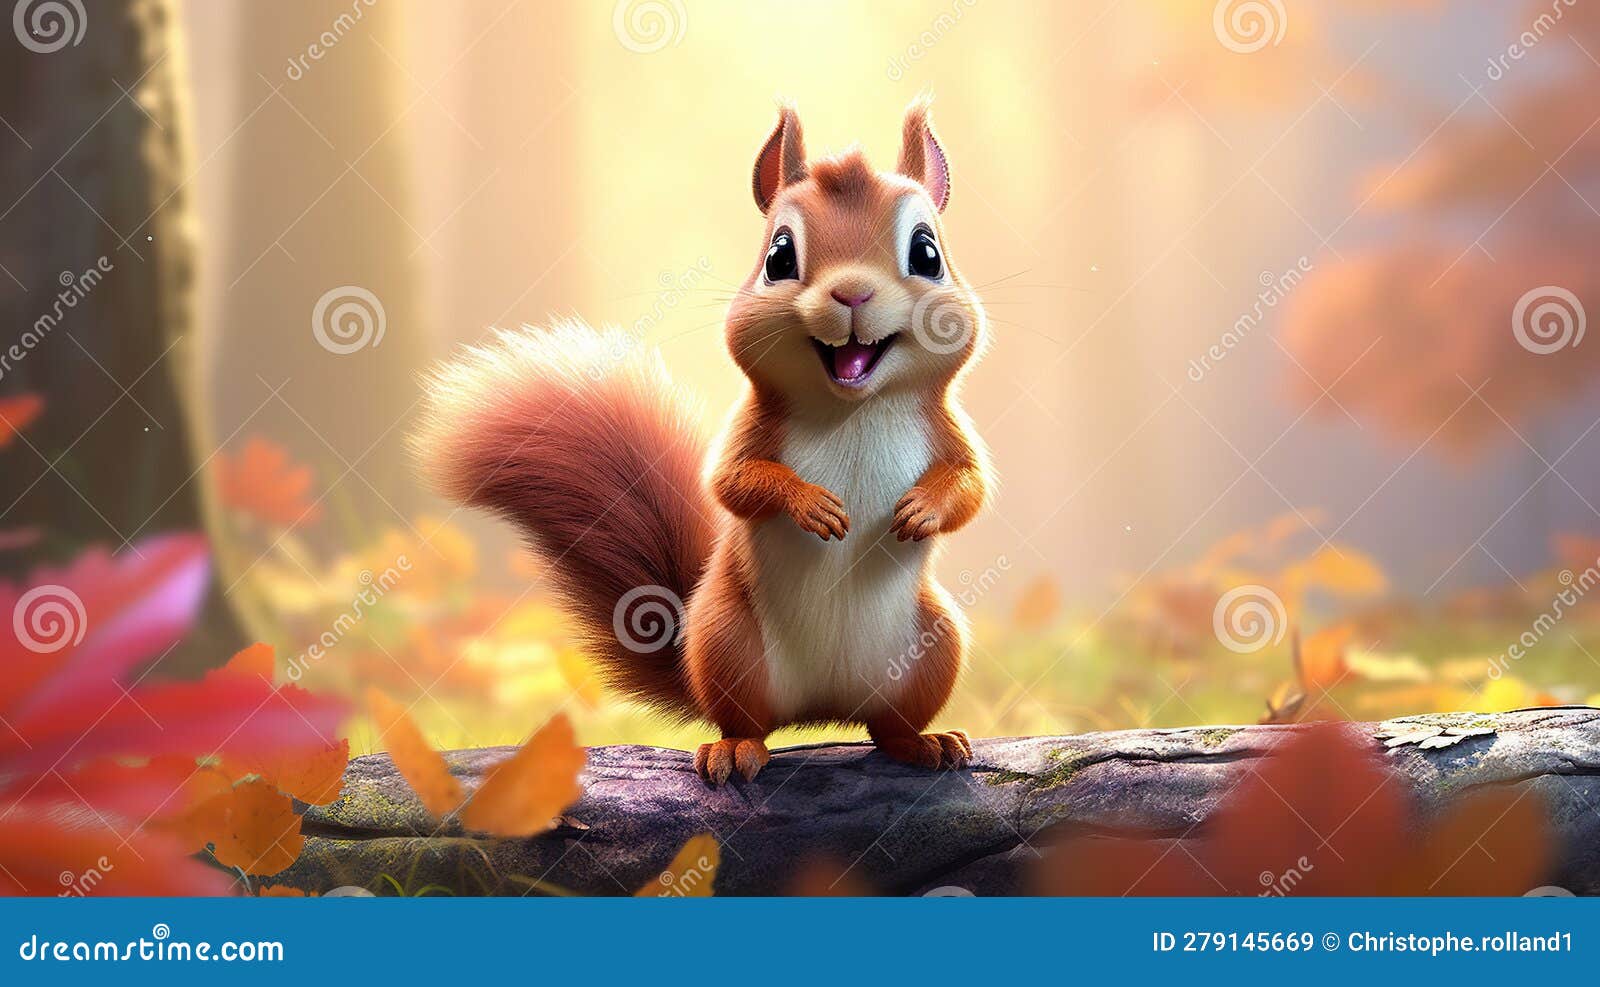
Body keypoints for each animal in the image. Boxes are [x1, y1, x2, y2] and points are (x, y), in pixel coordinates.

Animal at [414, 99, 991, 785]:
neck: (852, 407)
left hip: (935, 642)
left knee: (888, 727)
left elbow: (970, 486)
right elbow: (734, 483)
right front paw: (811, 505)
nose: (852, 292)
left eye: (927, 252)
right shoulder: (750, 429)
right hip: (727, 640)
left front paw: (921, 509)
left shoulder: (947, 429)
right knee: (746, 719)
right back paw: (735, 750)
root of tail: (824, 708)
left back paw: (926, 743)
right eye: (779, 257)